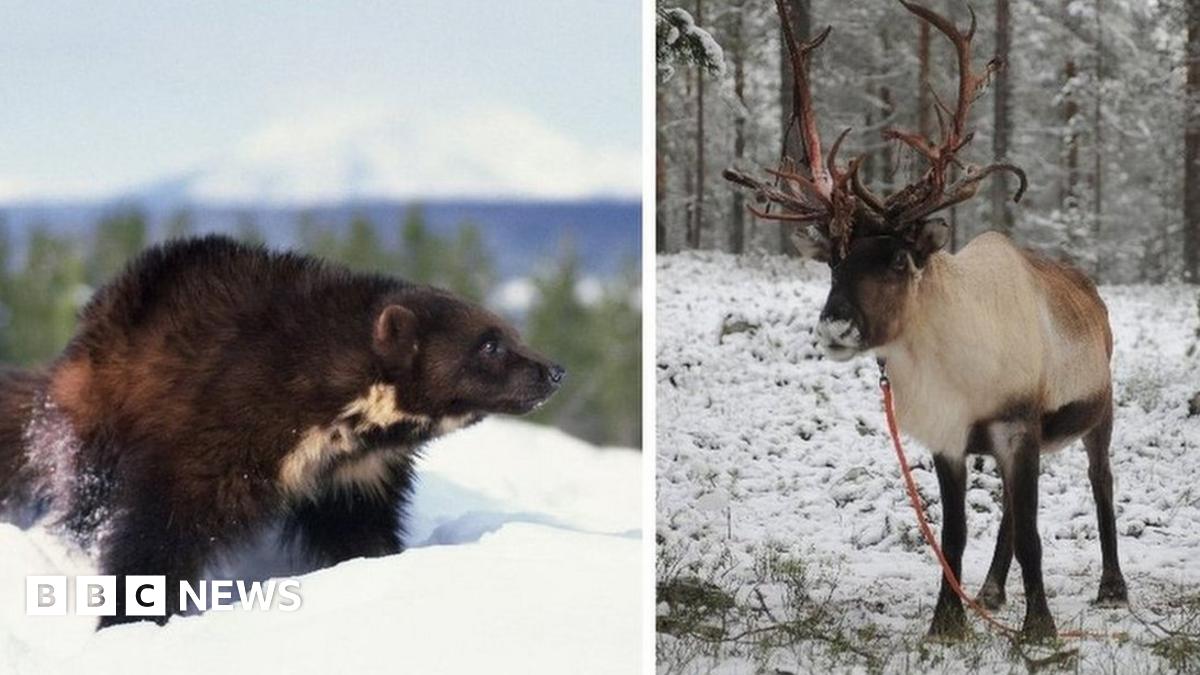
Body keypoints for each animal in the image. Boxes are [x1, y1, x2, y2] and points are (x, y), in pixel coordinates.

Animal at [724, 1, 1127, 642]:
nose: (834, 327)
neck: (956, 367)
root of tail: (1092, 294)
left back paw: (1112, 586)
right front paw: (947, 622)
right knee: (1011, 511)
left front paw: (1040, 628)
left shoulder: (1019, 426)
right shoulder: (951, 438)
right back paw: (991, 589)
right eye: (834, 261)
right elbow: (955, 533)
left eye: (896, 258)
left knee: (1101, 482)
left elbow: (1035, 535)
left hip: (1099, 410)